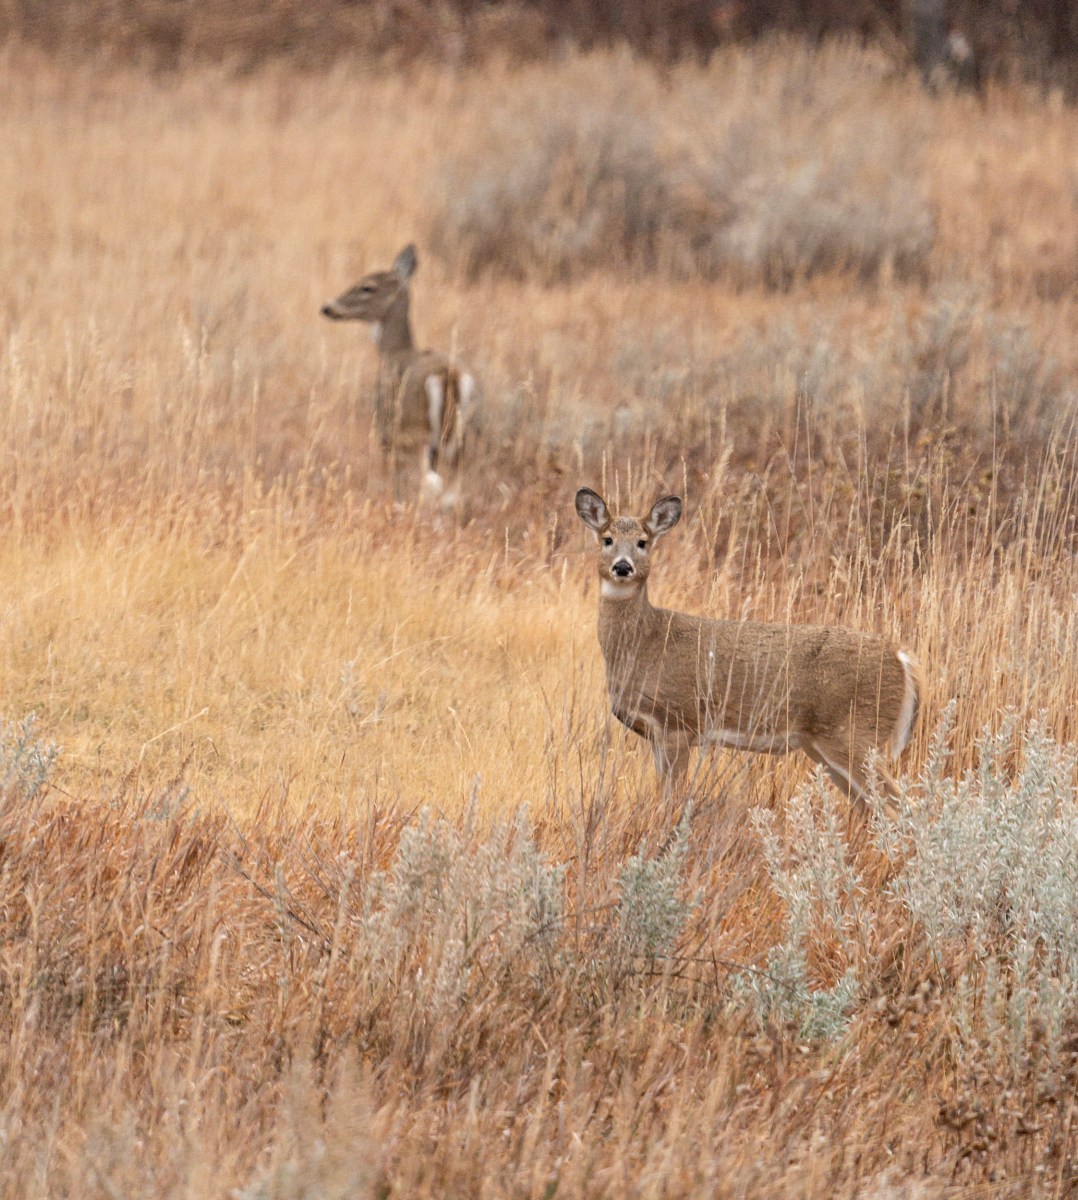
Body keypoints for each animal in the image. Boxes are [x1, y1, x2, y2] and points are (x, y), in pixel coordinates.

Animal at [321, 244, 476, 506]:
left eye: (368, 287)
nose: (328, 308)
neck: (394, 351)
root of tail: (447, 376)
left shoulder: (386, 427)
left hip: (413, 433)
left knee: (428, 482)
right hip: (457, 437)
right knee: (453, 489)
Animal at [575, 487, 923, 813]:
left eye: (643, 542)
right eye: (607, 539)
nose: (622, 567)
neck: (646, 643)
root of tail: (901, 658)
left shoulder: (678, 722)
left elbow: (669, 801)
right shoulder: (658, 735)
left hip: (856, 734)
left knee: (901, 808)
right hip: (823, 745)